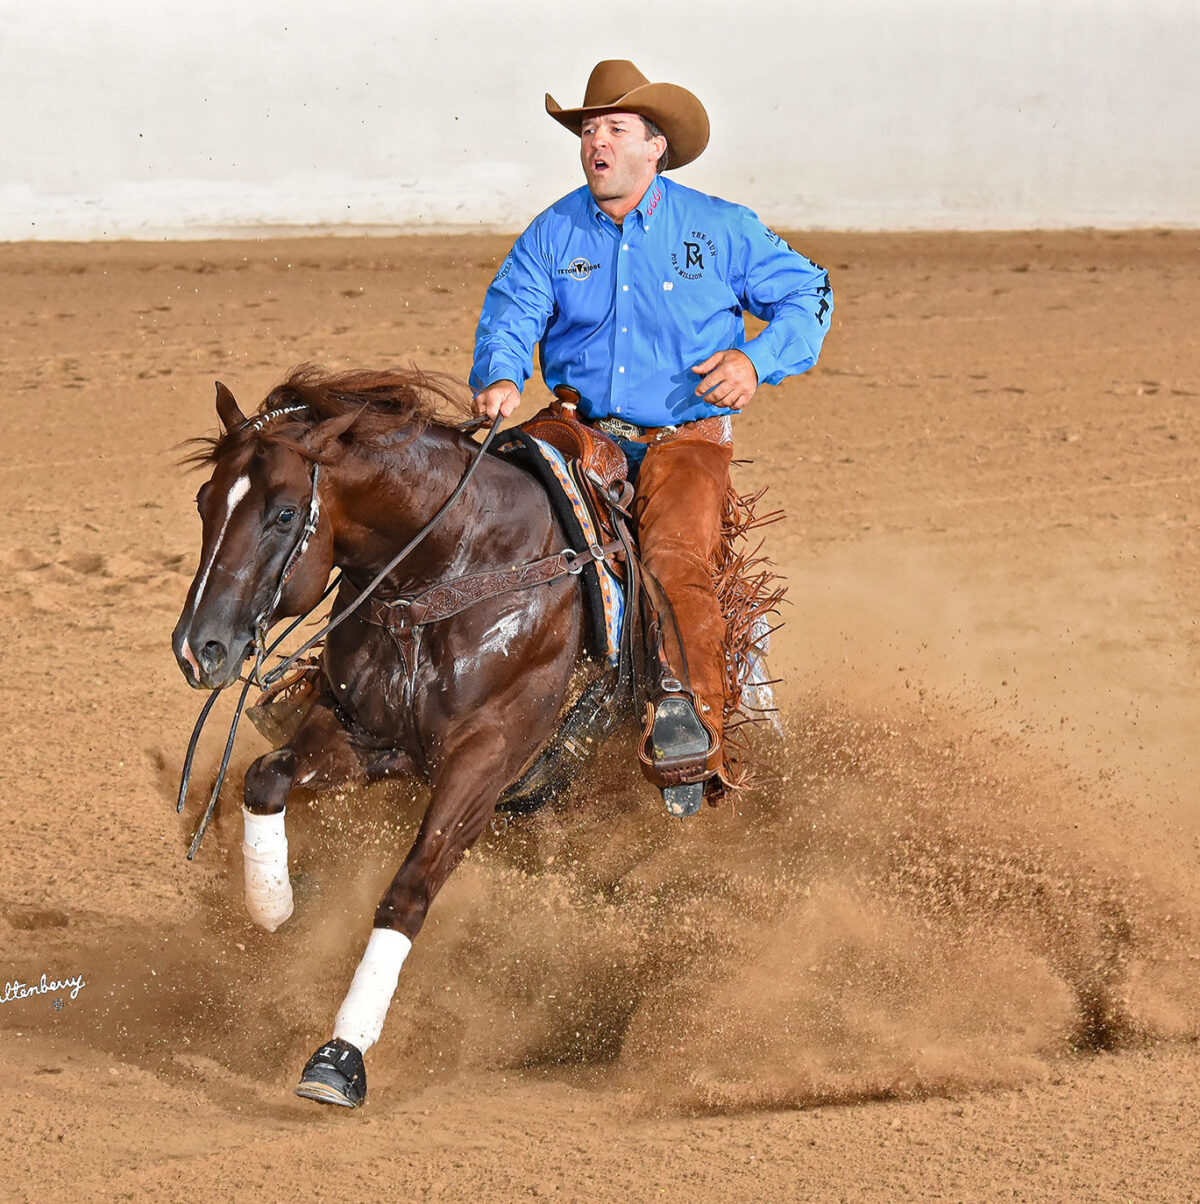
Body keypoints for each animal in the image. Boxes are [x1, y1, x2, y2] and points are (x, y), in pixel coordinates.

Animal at [172, 365, 604, 1108]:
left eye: (284, 514)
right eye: (205, 502)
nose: (198, 650)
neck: (445, 574)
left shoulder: (485, 760)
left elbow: (409, 891)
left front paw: (340, 1055)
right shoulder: (366, 735)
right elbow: (265, 776)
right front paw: (273, 905)